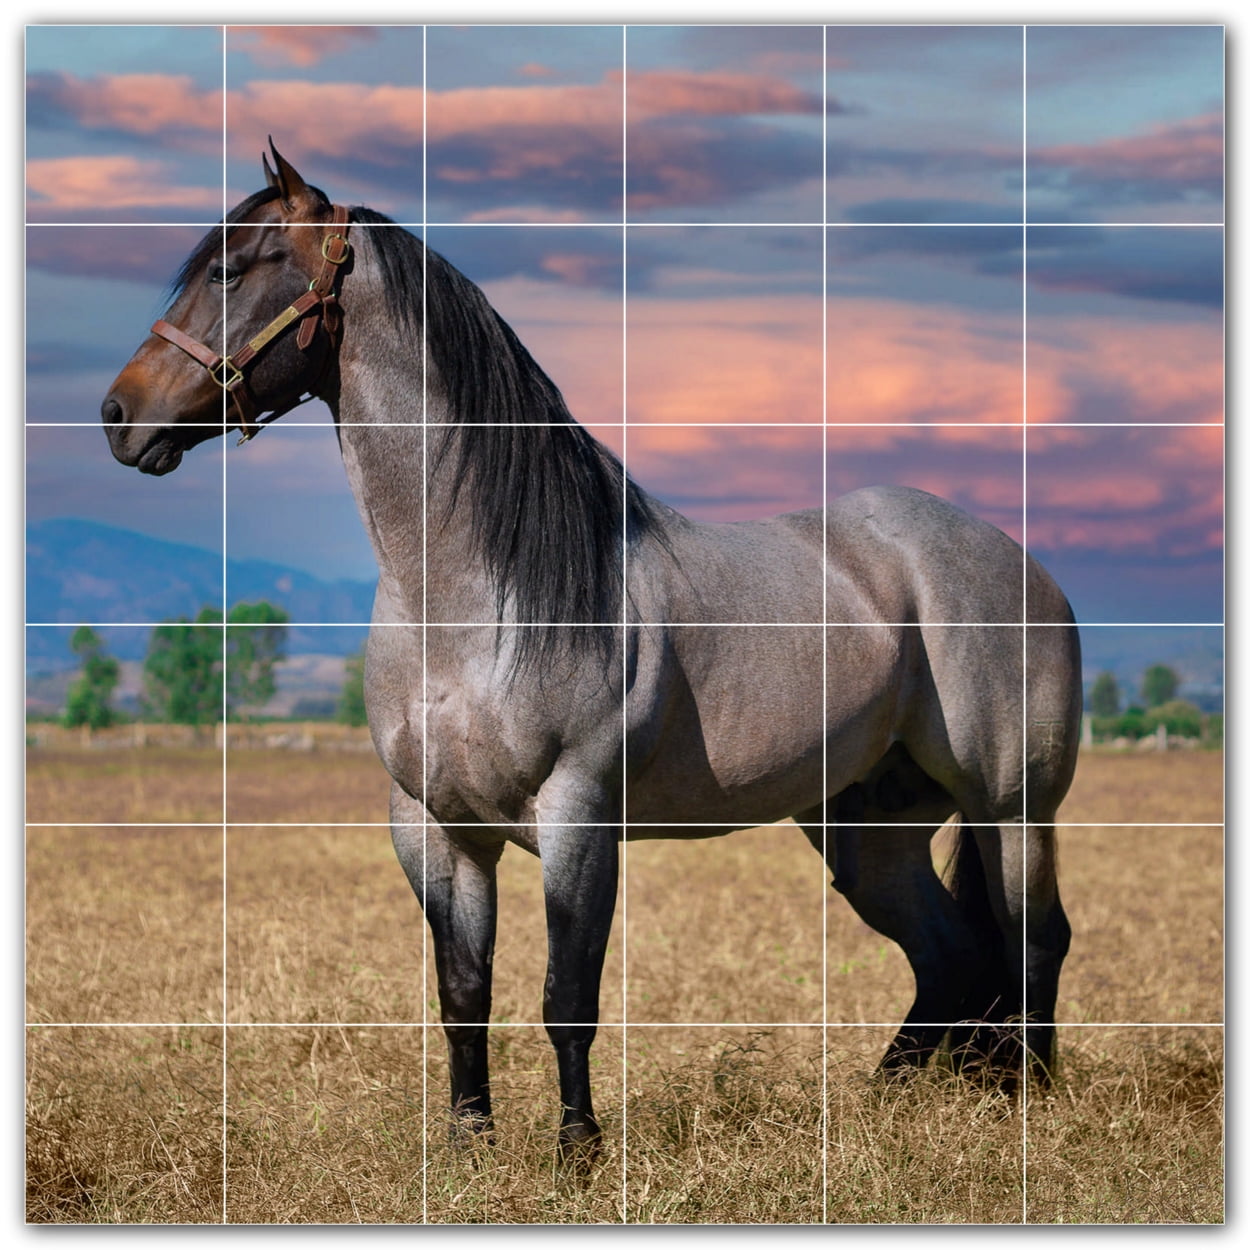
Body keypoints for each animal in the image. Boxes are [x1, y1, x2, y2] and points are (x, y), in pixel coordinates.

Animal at [102, 145, 1080, 1166]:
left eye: (230, 271)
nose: (119, 415)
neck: (471, 599)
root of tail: (1018, 563)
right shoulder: (434, 828)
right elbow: (464, 995)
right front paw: (469, 1146)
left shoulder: (578, 817)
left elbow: (566, 998)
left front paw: (578, 1151)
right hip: (866, 827)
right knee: (949, 957)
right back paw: (876, 1105)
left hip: (1013, 807)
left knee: (1034, 940)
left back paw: (1030, 1101)